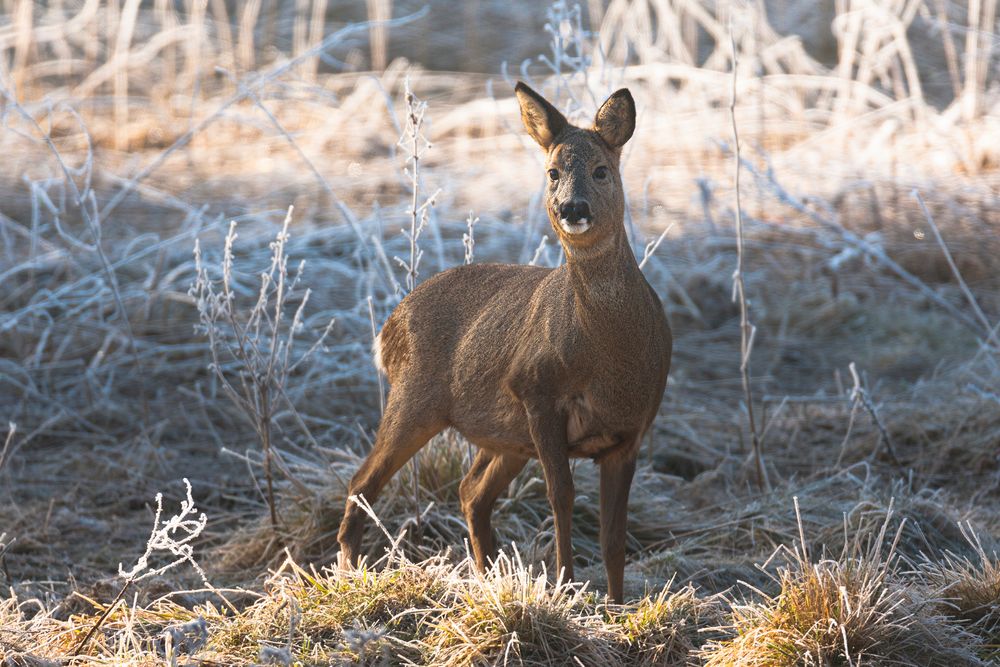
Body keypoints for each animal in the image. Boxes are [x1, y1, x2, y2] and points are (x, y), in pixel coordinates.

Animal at [337, 82, 672, 603]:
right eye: (552, 172)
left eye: (601, 169)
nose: (572, 209)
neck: (609, 353)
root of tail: (389, 326)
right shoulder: (535, 389)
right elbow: (561, 496)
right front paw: (564, 590)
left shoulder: (631, 431)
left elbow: (613, 536)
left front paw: (618, 608)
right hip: (415, 399)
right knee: (362, 482)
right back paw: (349, 580)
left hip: (503, 436)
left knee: (469, 492)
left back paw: (485, 581)